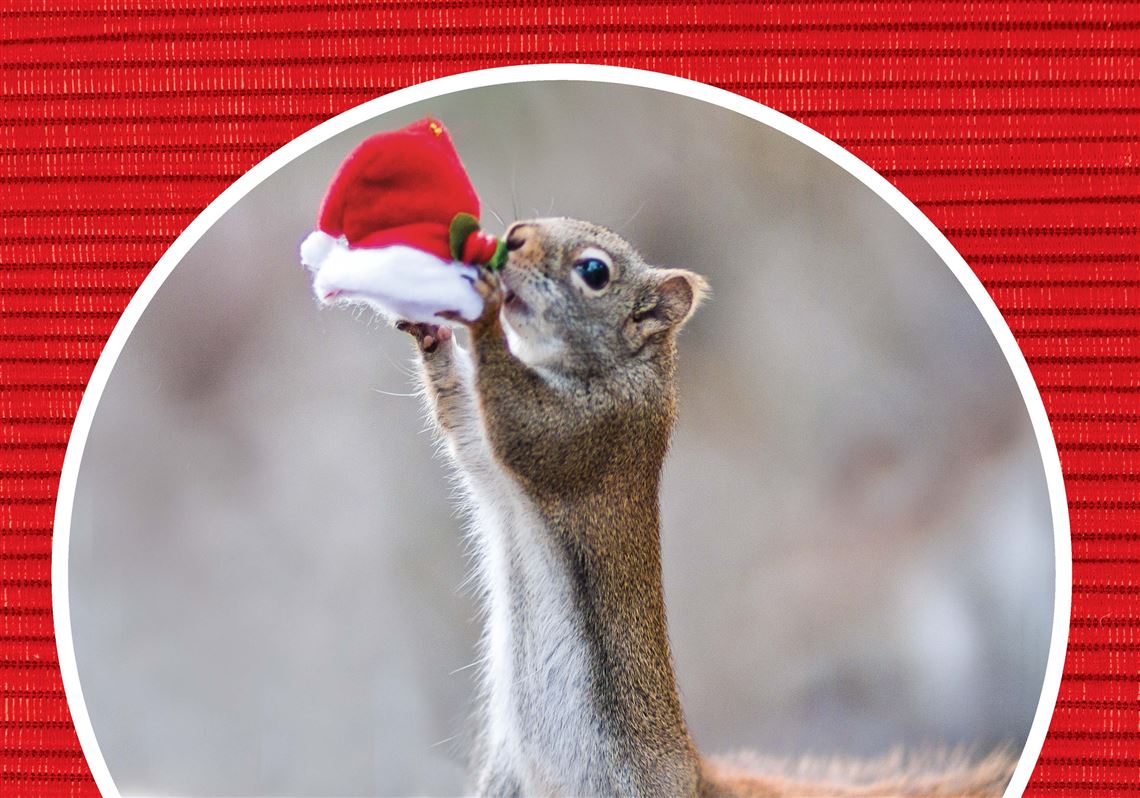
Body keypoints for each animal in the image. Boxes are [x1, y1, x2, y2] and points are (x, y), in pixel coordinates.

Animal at [395, 217, 1015, 797]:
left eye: (594, 272)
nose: (516, 235)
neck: (624, 366)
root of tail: (698, 779)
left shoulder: (594, 428)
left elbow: (522, 424)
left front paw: (482, 309)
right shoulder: (488, 448)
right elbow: (462, 420)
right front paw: (432, 331)